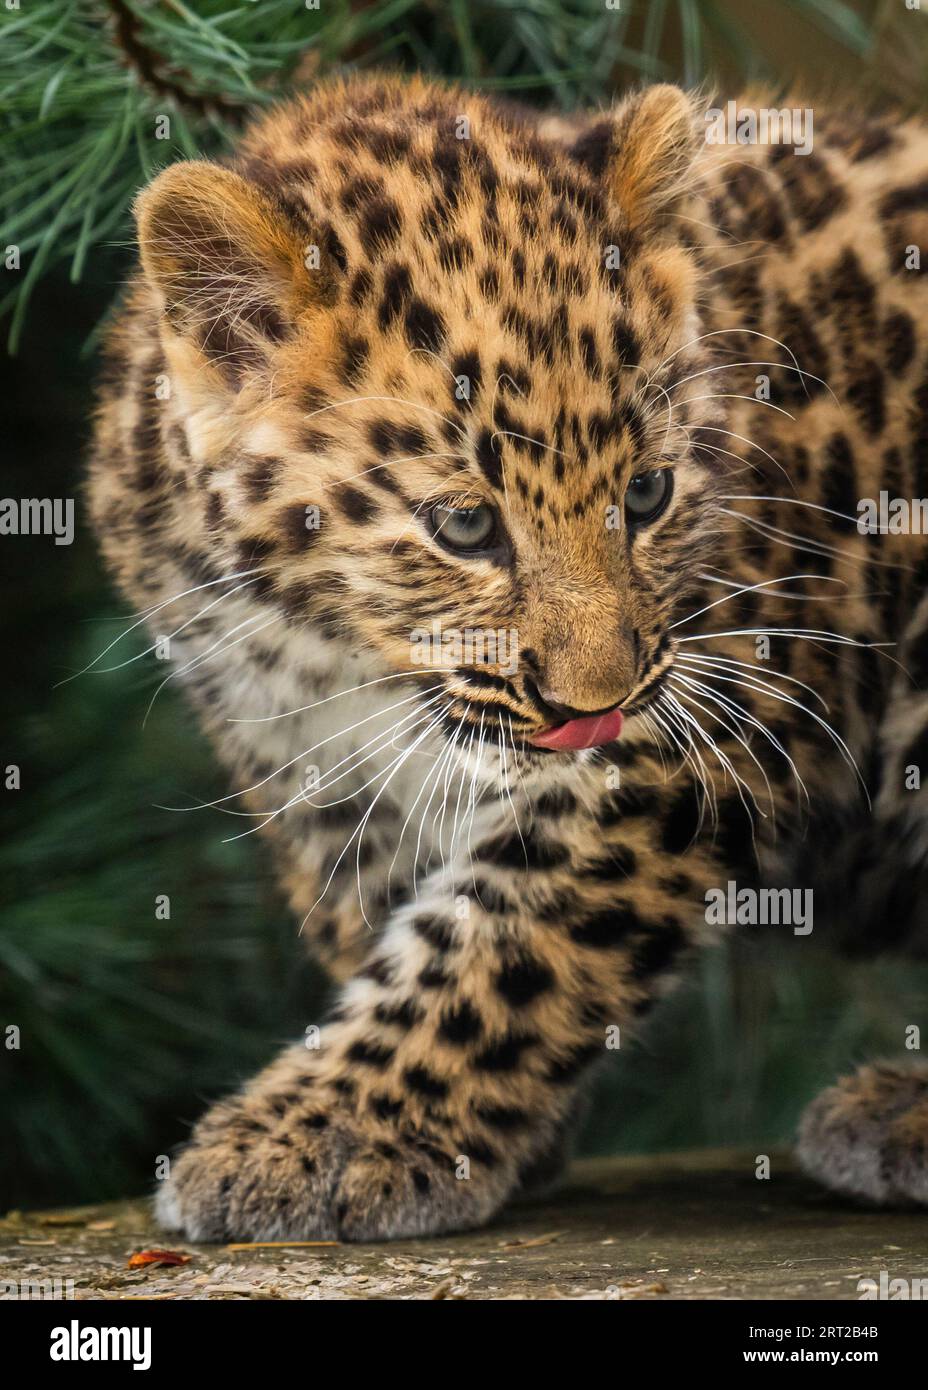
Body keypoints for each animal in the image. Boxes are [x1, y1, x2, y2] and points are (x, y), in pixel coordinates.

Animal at [87, 72, 928, 1241]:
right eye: (466, 525)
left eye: (646, 495)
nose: (596, 705)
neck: (336, 655)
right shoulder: (299, 753)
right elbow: (388, 911)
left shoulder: (698, 729)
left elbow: (500, 951)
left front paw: (326, 1134)